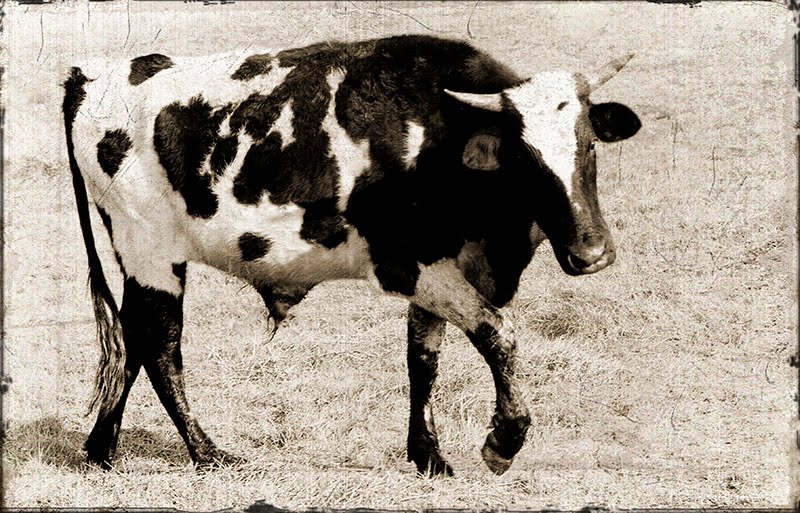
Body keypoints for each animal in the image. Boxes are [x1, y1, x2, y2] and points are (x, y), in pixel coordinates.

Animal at [62, 35, 641, 476]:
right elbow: (499, 335)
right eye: (523, 157)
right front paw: (503, 441)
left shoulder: (444, 272)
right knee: (160, 346)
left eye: (589, 144)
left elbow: (423, 359)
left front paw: (428, 456)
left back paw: (101, 449)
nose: (591, 252)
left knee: (131, 340)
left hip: (144, 263)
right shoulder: (410, 267)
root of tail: (92, 77)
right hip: (151, 254)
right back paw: (206, 453)